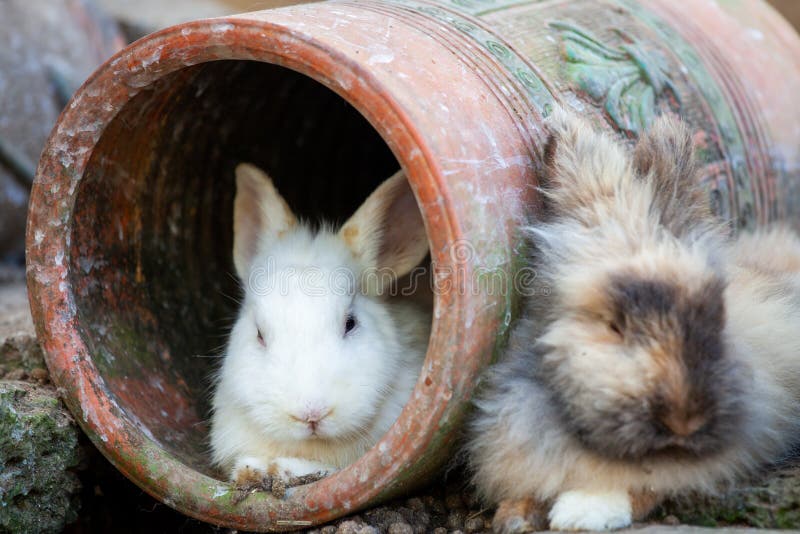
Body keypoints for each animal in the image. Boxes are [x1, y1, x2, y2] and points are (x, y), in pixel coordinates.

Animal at [466, 107, 800, 532]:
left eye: (716, 312)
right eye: (614, 325)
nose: (684, 420)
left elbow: (641, 489)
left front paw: (579, 514)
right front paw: (514, 518)